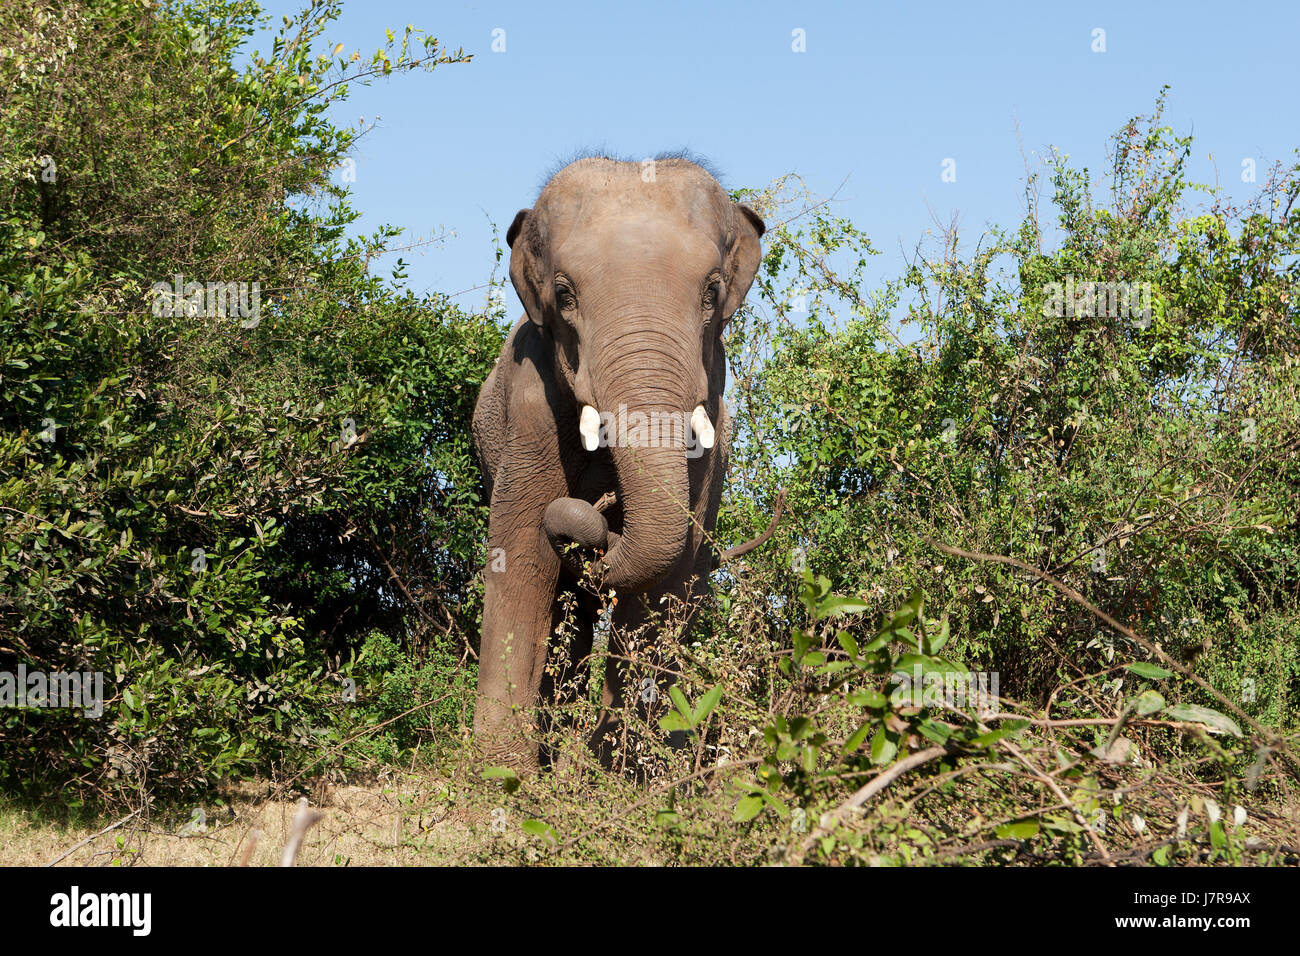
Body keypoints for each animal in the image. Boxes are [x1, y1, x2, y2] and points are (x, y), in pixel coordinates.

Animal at [471, 155, 770, 771]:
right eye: (564, 296)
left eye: (712, 292)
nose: (603, 509)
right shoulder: (531, 407)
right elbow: (521, 551)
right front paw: (496, 779)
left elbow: (663, 584)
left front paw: (615, 775)